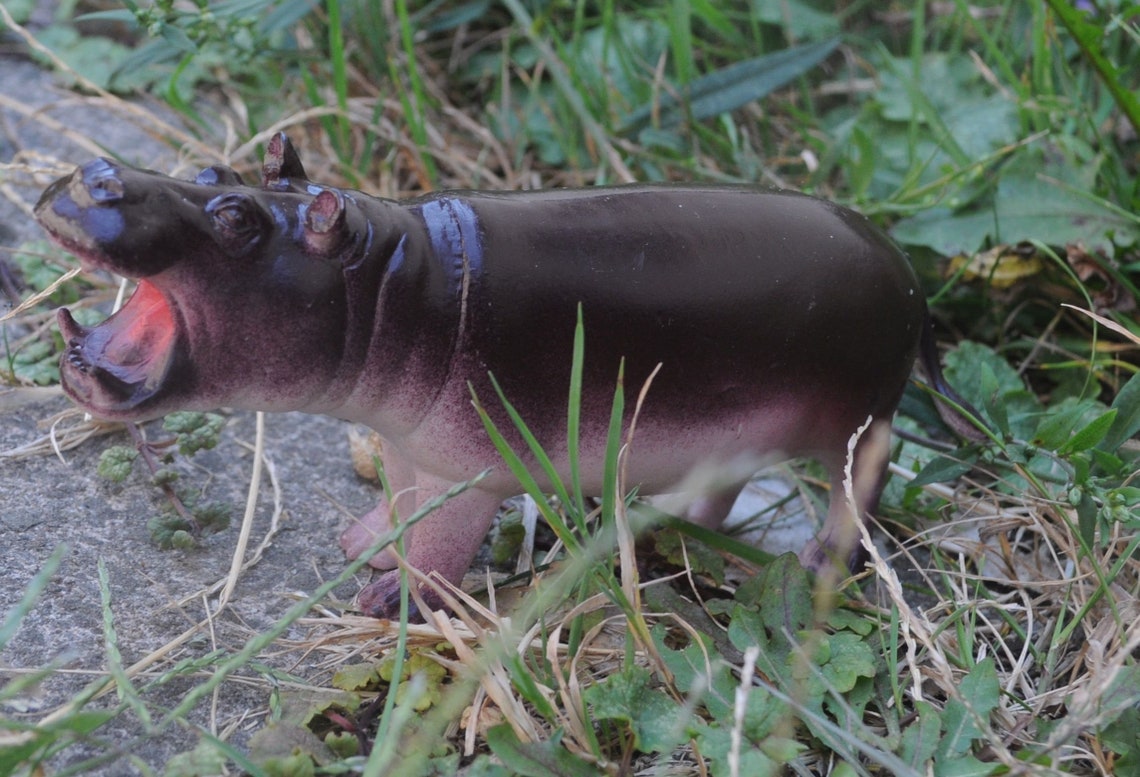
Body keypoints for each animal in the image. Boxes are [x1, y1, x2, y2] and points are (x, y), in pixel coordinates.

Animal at [35, 132, 956, 619]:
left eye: (237, 220)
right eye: (211, 172)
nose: (97, 172)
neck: (389, 279)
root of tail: (910, 276)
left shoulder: (470, 469)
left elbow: (441, 541)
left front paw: (389, 601)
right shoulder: (410, 441)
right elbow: (400, 499)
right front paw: (363, 545)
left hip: (860, 424)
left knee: (857, 486)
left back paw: (818, 568)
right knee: (724, 482)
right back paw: (674, 525)